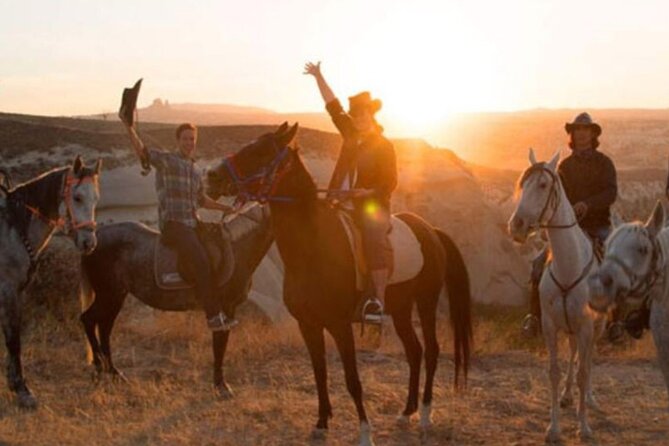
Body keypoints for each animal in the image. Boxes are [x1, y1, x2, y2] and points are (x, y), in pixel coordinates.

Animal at [0, 156, 101, 408]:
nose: (89, 243)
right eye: (77, 197)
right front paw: (22, 390)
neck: (12, 229)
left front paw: (13, 383)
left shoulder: (18, 293)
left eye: (96, 199)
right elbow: (13, 339)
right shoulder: (8, 291)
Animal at [79, 202, 273, 396]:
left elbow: (221, 343)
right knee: (88, 319)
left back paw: (113, 372)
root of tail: (92, 243)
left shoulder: (229, 309)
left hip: (116, 296)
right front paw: (221, 386)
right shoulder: (225, 307)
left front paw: (220, 384)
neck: (236, 246)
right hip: (108, 294)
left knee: (104, 327)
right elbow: (220, 344)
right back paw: (99, 367)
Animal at [207, 122, 472, 446]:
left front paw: (365, 433)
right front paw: (321, 423)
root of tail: (431, 230)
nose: (211, 175)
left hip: (426, 301)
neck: (314, 247)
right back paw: (406, 411)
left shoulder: (340, 325)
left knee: (432, 350)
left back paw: (424, 414)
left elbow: (352, 380)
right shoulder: (308, 325)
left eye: (262, 152)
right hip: (400, 309)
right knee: (415, 351)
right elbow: (319, 373)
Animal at [508, 149, 606, 442]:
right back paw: (567, 395)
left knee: (588, 358)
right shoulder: (551, 326)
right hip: (570, 329)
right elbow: (554, 372)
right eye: (523, 184)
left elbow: (585, 370)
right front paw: (553, 427)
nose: (516, 226)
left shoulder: (586, 326)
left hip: (595, 328)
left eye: (542, 185)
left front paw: (583, 426)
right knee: (574, 354)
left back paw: (590, 398)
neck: (568, 265)